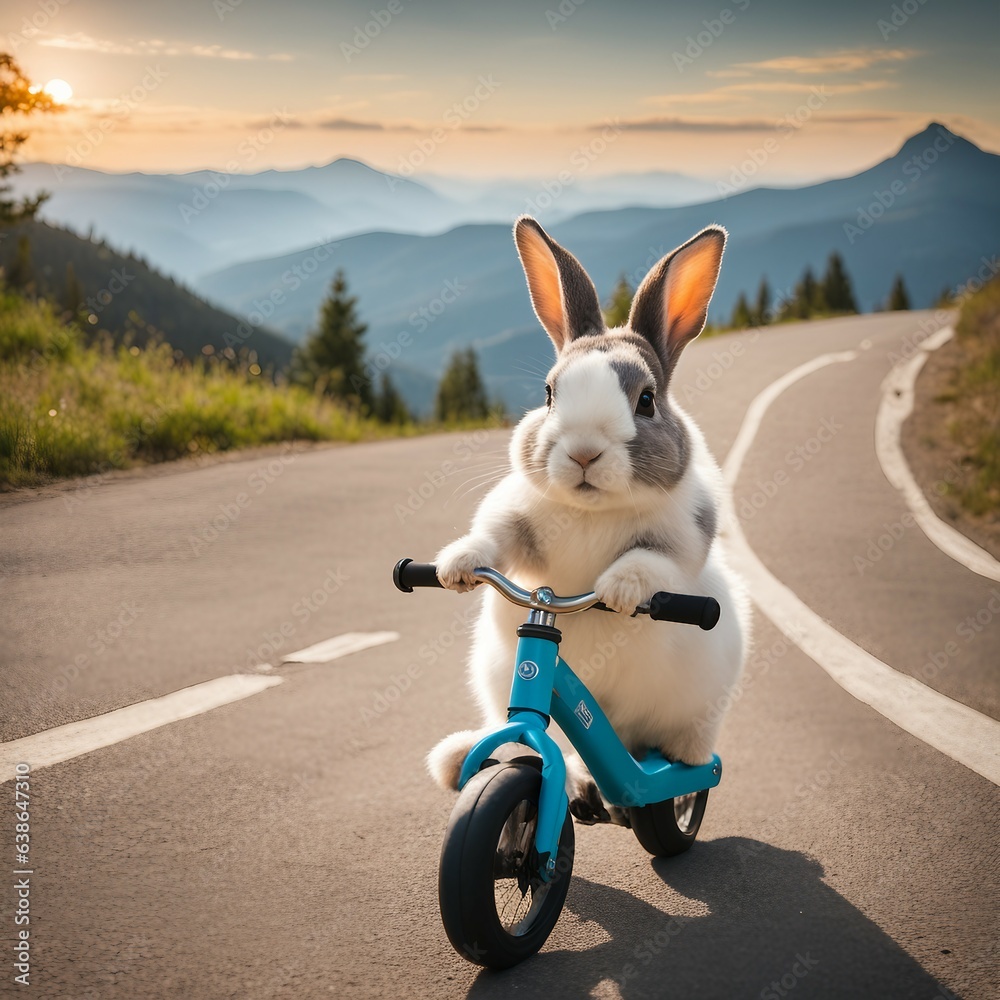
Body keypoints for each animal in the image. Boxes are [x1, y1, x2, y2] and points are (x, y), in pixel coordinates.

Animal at [427, 215, 749, 825]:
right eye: (550, 393)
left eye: (646, 400)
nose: (582, 453)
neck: (590, 512)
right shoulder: (516, 522)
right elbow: (493, 538)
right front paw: (456, 564)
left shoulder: (680, 542)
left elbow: (650, 563)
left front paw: (618, 590)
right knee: (539, 751)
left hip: (697, 716)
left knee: (688, 764)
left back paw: (674, 777)